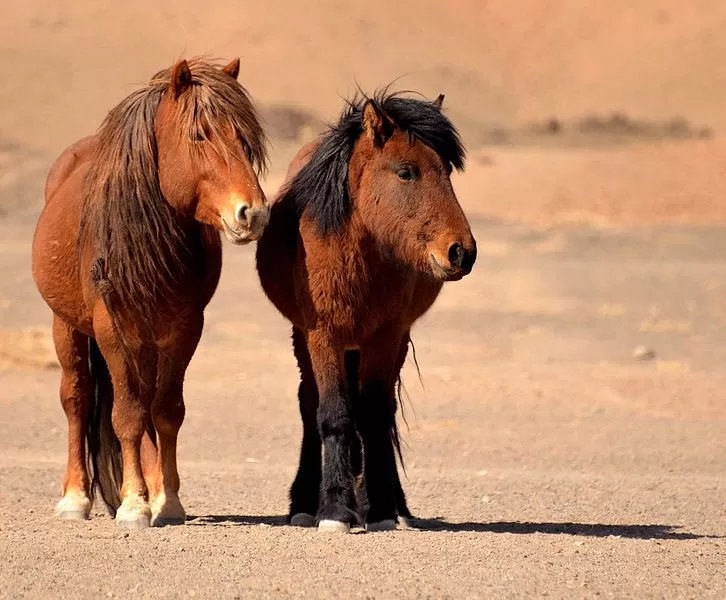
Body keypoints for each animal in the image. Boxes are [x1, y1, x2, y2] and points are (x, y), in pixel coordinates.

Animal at [32, 58, 270, 528]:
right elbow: (125, 414)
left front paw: (167, 499)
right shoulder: (112, 328)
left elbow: (165, 411)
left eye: (244, 139)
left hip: (145, 342)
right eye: (199, 135)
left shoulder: (184, 329)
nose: (252, 213)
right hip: (67, 326)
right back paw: (75, 498)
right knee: (77, 399)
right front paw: (134, 505)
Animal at [258, 91, 478, 532]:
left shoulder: (385, 336)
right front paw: (334, 510)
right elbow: (334, 415)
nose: (462, 252)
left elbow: (374, 415)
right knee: (310, 405)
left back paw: (393, 504)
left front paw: (380, 511)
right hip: (308, 341)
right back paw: (304, 502)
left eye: (446, 170)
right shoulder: (322, 335)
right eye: (407, 172)